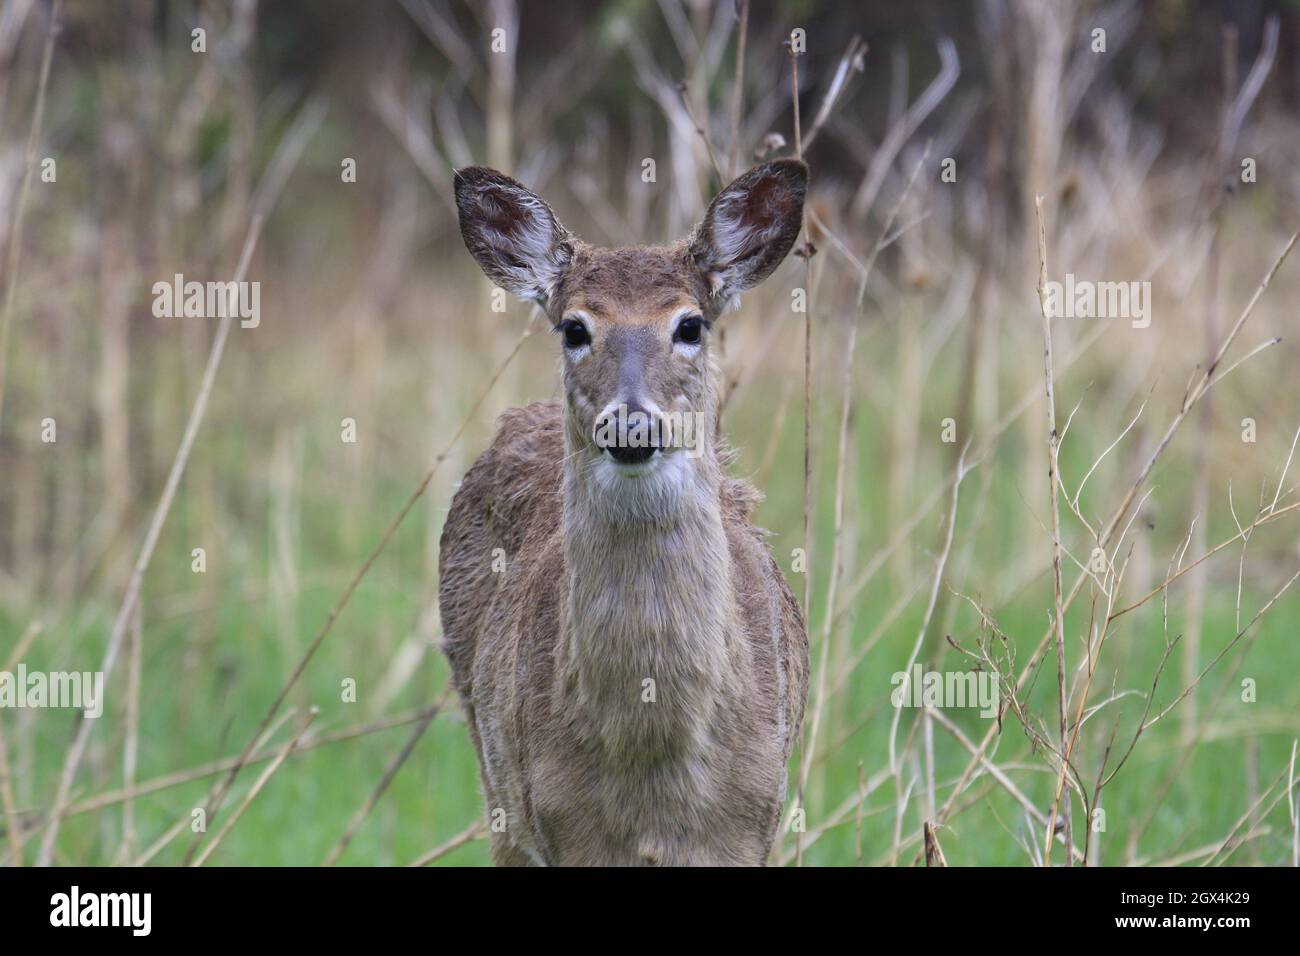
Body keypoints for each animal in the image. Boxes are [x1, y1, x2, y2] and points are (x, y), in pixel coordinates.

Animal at [438, 159, 810, 866]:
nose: (631, 425)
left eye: (690, 325)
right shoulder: (557, 823)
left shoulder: (756, 822)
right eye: (575, 328)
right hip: (496, 780)